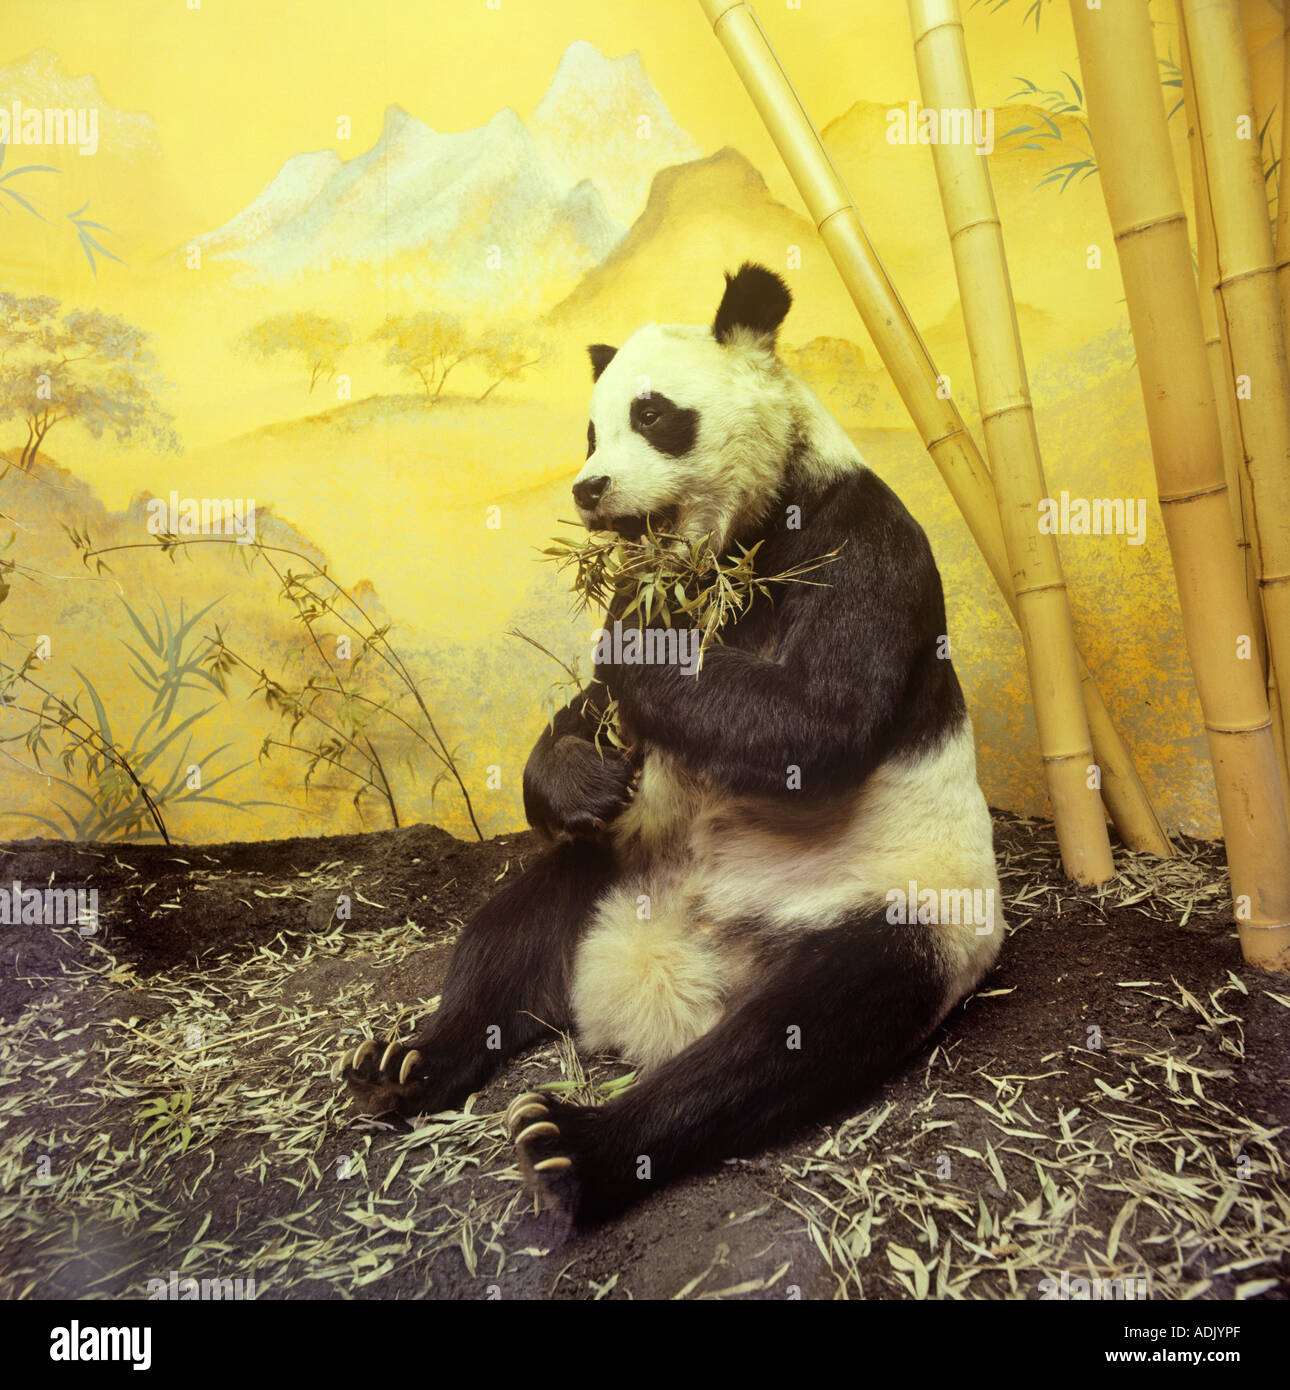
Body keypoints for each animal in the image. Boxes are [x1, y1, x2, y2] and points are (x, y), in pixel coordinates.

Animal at [340, 263, 1003, 1228]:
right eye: (589, 431)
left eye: (653, 414)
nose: (588, 488)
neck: (740, 537)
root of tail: (672, 976)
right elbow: (601, 717)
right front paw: (583, 768)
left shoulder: (856, 540)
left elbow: (819, 721)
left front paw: (630, 625)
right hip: (620, 859)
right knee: (511, 931)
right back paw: (408, 1063)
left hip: (900, 909)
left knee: (796, 1035)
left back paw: (575, 1146)